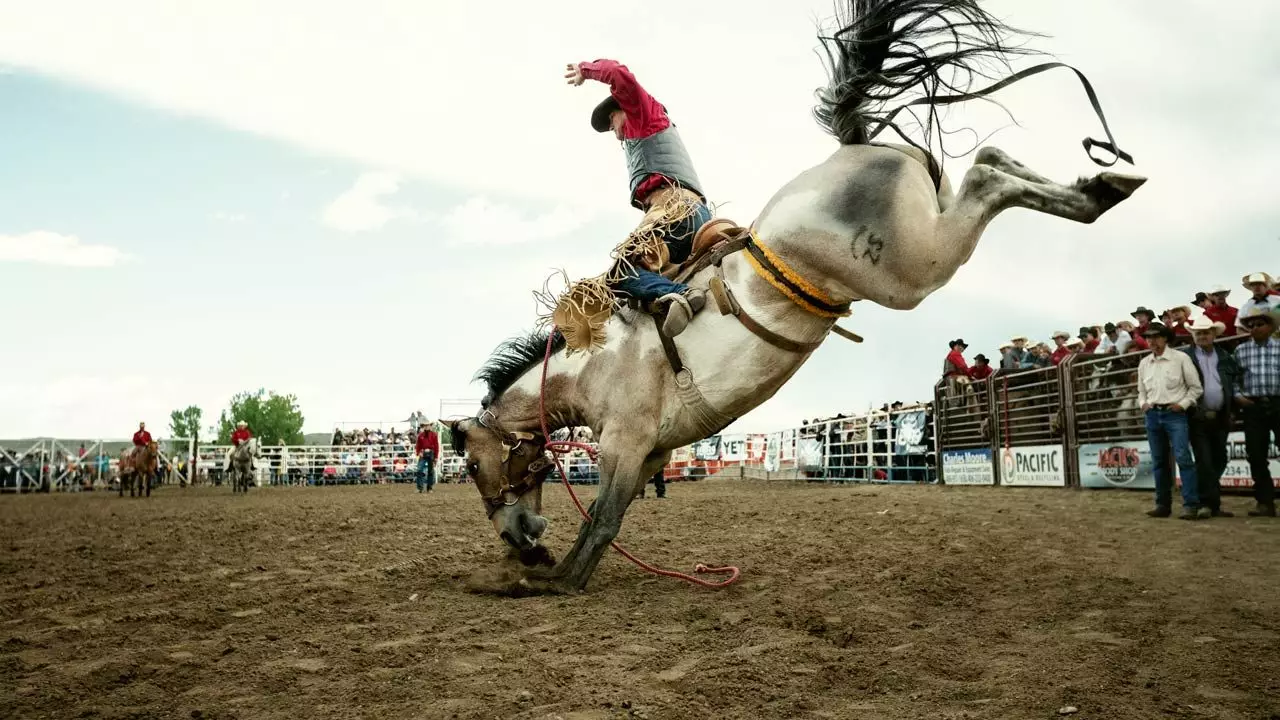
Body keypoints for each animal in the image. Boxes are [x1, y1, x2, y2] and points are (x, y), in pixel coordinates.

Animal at [453, 0, 1152, 594]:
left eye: (476, 467)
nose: (518, 539)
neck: (592, 361)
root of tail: (852, 145)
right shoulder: (656, 451)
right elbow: (609, 517)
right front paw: (547, 569)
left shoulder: (626, 442)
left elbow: (602, 519)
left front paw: (551, 582)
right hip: (929, 223)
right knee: (994, 158)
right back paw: (1102, 183)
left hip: (912, 266)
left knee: (986, 175)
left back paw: (1103, 186)